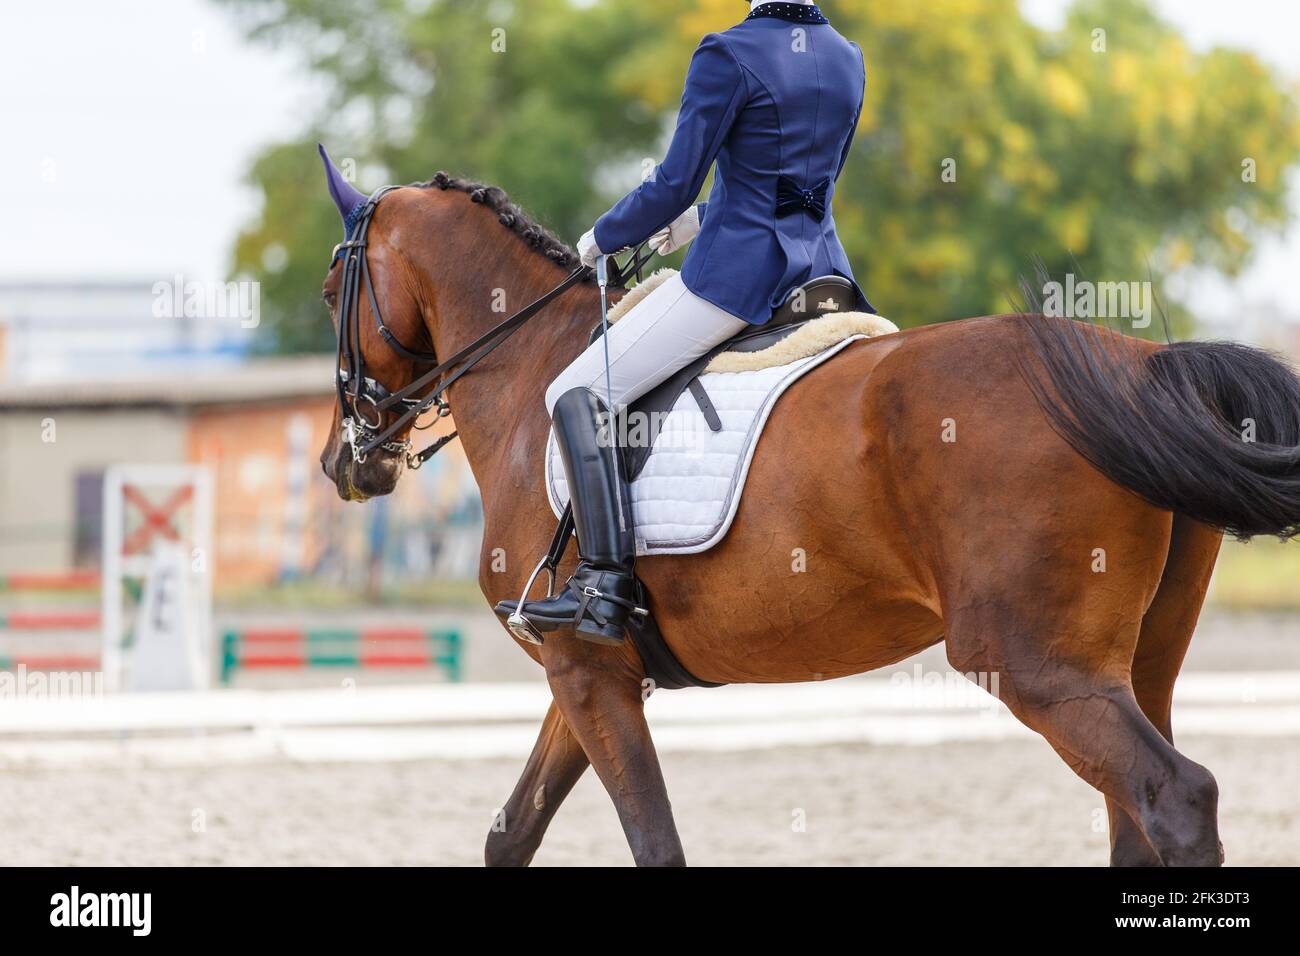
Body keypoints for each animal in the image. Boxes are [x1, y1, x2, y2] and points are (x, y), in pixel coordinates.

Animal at [317, 173, 1300, 866]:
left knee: (1175, 799)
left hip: (1038, 668)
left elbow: (653, 842)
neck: (529, 371)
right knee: (1137, 817)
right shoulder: (588, 673)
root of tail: (1137, 365)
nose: (345, 463)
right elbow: (511, 833)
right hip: (1137, 667)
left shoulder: (585, 672)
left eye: (333, 292)